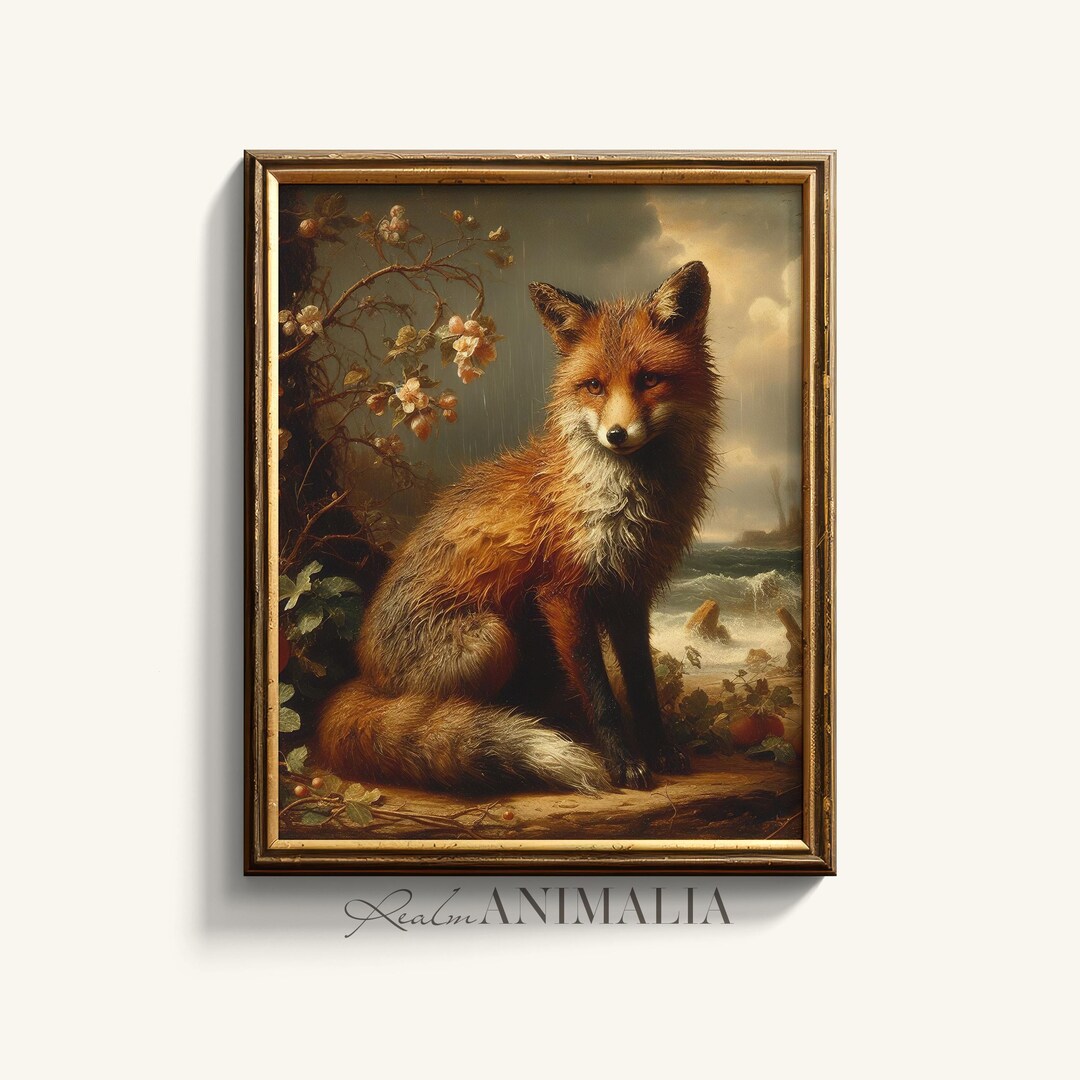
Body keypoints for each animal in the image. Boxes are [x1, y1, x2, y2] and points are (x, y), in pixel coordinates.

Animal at [314, 260, 721, 793]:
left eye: (650, 379)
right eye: (594, 386)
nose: (616, 435)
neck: (630, 503)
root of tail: (366, 672)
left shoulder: (630, 595)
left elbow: (642, 686)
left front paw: (660, 750)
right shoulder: (563, 593)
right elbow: (602, 696)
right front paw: (622, 763)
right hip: (493, 638)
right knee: (437, 710)